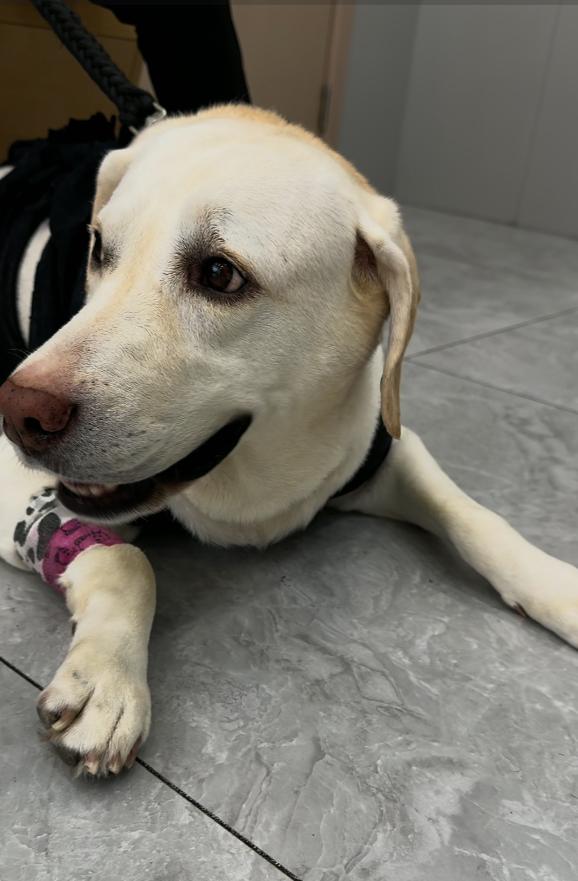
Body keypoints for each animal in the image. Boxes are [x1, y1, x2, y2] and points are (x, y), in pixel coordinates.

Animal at [1, 105, 577, 778]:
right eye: (98, 248)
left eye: (219, 273)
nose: (17, 412)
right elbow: (125, 561)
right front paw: (107, 681)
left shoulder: (384, 445)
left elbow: (477, 518)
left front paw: (558, 586)